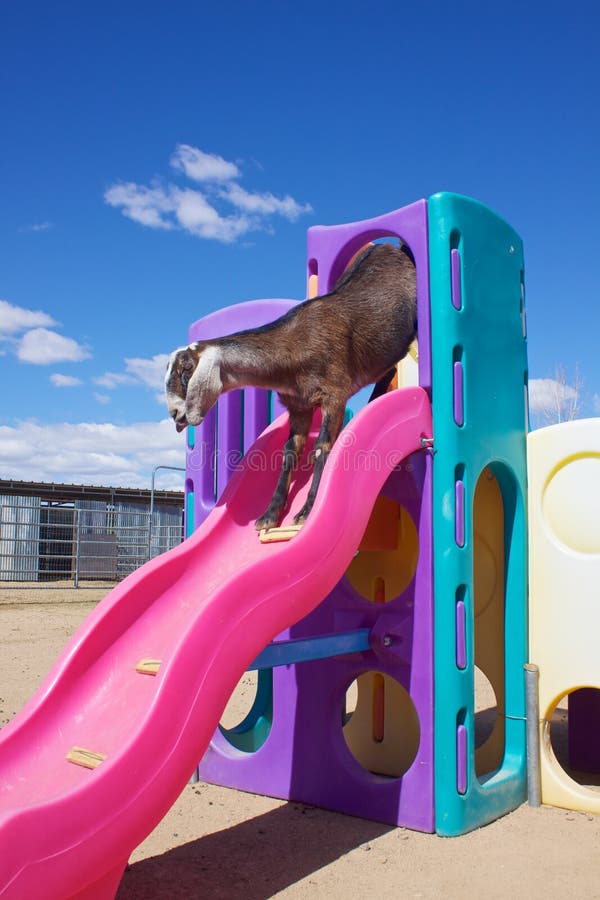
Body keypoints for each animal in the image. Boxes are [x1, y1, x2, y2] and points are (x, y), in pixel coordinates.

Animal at [165, 242, 417, 530]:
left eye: (186, 371)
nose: (175, 414)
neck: (295, 348)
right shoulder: (299, 408)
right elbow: (287, 454)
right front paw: (270, 514)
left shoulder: (334, 395)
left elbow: (321, 448)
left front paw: (307, 511)